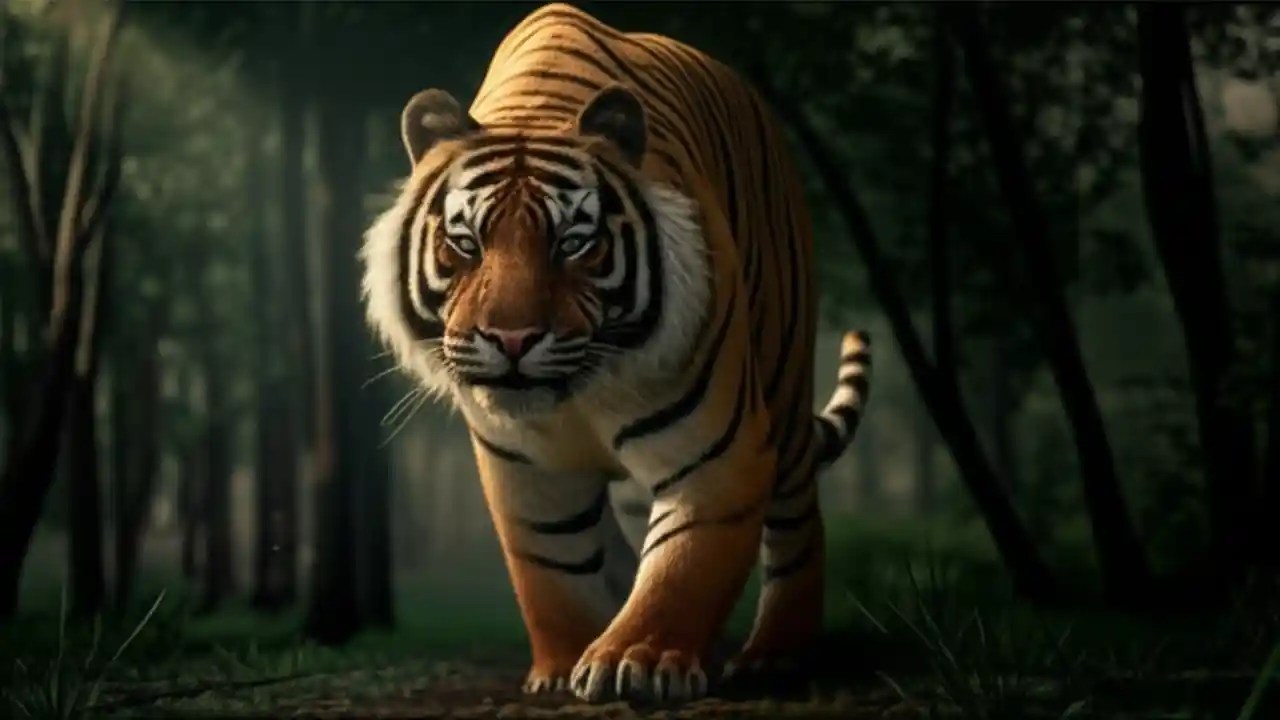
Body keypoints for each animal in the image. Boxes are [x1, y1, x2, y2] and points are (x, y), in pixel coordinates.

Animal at [360, 2, 872, 704]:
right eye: (466, 243)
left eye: (574, 242)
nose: (512, 339)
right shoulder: (519, 464)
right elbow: (553, 569)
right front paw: (563, 663)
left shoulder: (719, 450)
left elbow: (685, 559)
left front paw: (640, 659)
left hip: (784, 380)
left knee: (795, 525)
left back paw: (776, 654)